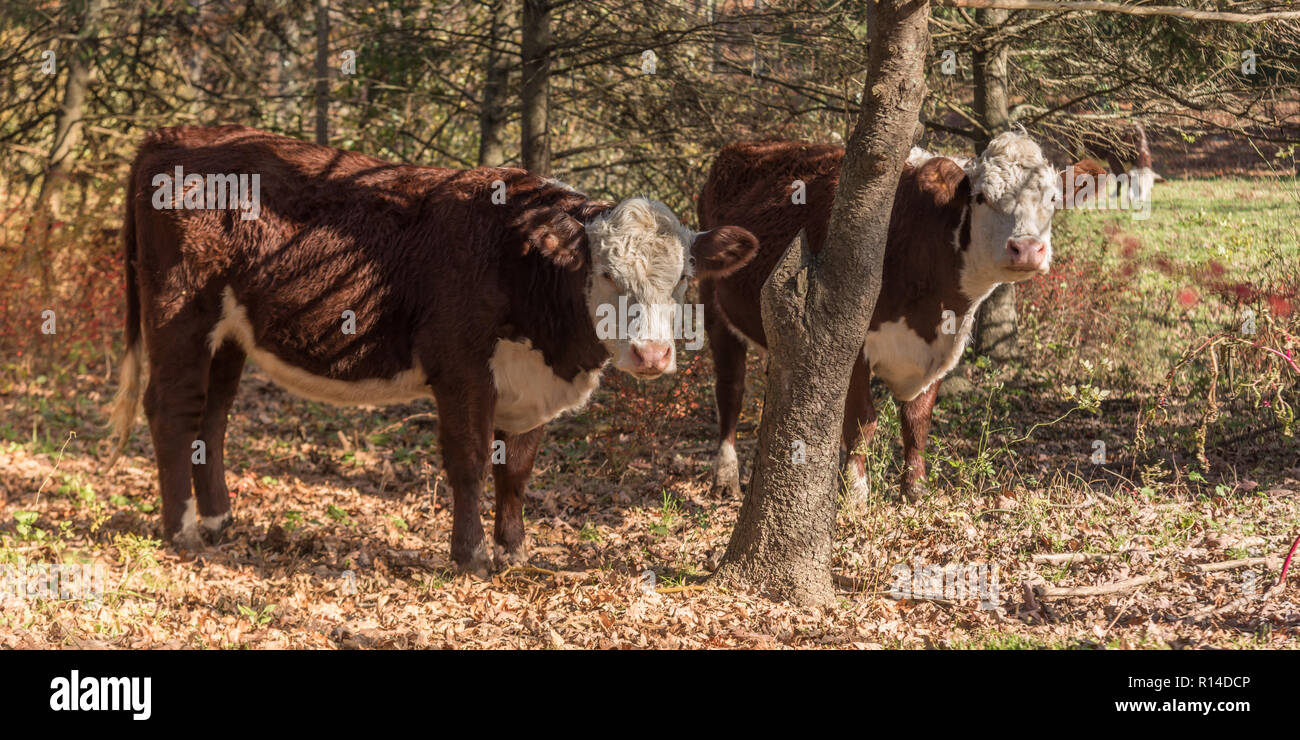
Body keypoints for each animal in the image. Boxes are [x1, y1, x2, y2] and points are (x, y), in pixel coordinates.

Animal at [106, 125, 757, 576]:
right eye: (603, 273)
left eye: (683, 278)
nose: (652, 356)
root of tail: (177, 134)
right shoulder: (461, 368)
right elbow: (469, 461)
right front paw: (470, 555)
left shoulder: (531, 386)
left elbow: (518, 468)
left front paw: (515, 551)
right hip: (180, 309)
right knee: (173, 408)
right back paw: (183, 531)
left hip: (230, 330)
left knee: (212, 416)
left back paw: (218, 519)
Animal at [697, 130, 1077, 502]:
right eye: (982, 197)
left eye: (1052, 199)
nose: (1026, 249)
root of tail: (752, 143)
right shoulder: (849, 340)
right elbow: (862, 421)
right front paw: (855, 493)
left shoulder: (941, 345)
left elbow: (916, 422)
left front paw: (915, 489)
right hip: (713, 307)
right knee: (730, 390)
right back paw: (726, 476)